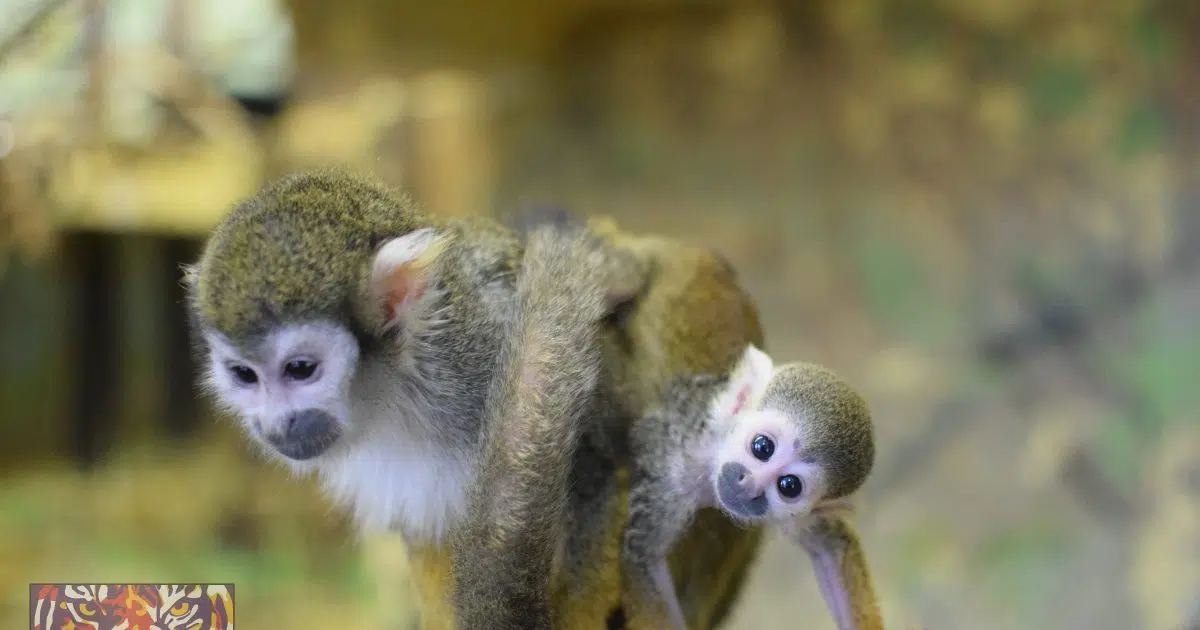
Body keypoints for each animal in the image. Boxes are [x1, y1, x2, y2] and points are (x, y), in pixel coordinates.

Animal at [621, 343, 883, 630]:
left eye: (789, 485)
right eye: (762, 447)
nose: (751, 483)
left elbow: (831, 548)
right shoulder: (677, 472)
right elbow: (644, 556)